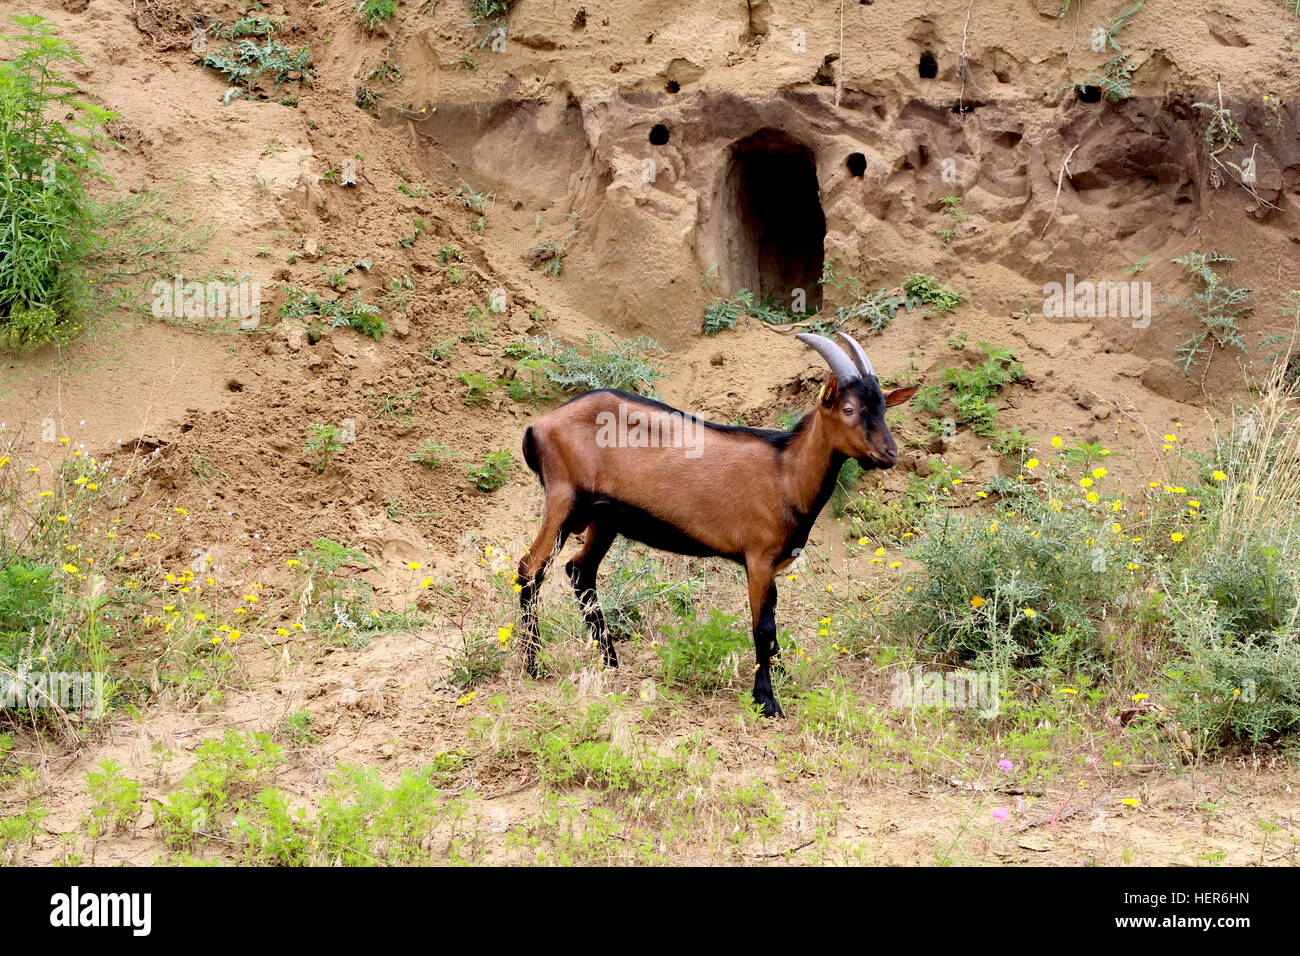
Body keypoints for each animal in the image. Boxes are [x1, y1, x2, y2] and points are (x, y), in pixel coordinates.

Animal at [516, 332, 919, 717]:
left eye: (883, 407)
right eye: (849, 409)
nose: (889, 453)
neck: (785, 472)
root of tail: (539, 425)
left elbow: (772, 624)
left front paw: (783, 678)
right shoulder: (758, 559)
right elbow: (763, 626)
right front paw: (767, 702)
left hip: (605, 517)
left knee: (580, 571)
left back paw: (610, 661)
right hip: (563, 499)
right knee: (530, 569)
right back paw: (536, 666)